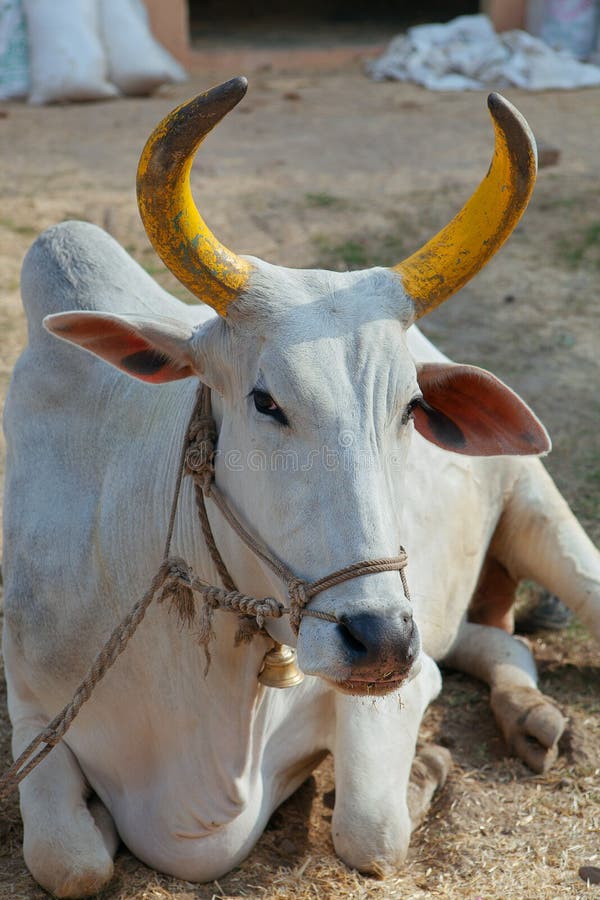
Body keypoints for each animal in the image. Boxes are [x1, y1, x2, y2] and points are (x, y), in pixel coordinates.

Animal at [2, 77, 599, 897]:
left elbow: (369, 830)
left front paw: (424, 767)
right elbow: (70, 860)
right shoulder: (33, 711)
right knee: (494, 640)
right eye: (265, 401)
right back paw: (531, 718)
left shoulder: (390, 691)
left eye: (411, 408)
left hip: (539, 514)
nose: (380, 639)